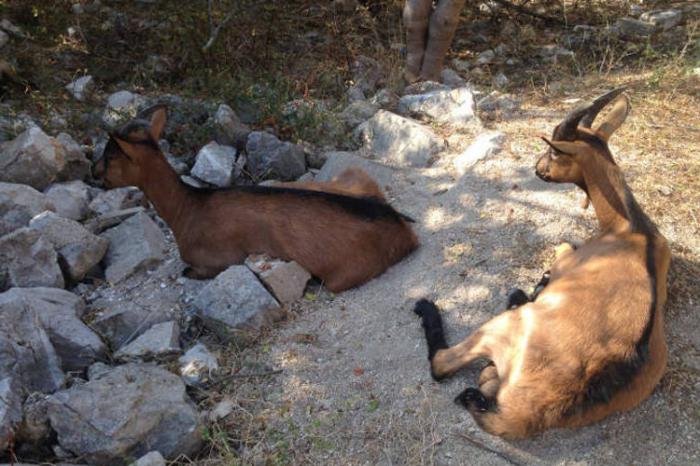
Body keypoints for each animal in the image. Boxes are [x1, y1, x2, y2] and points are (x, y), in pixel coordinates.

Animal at [95, 108, 418, 292]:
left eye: (110, 156)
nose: (95, 173)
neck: (187, 208)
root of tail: (404, 230)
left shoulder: (216, 261)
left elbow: (189, 271)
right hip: (351, 176)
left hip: (341, 276)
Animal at [412, 88, 668, 440]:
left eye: (551, 150)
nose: (536, 168)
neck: (630, 228)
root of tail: (531, 413)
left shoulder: (569, 261)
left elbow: (561, 248)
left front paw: (538, 282)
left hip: (502, 328)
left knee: (441, 364)